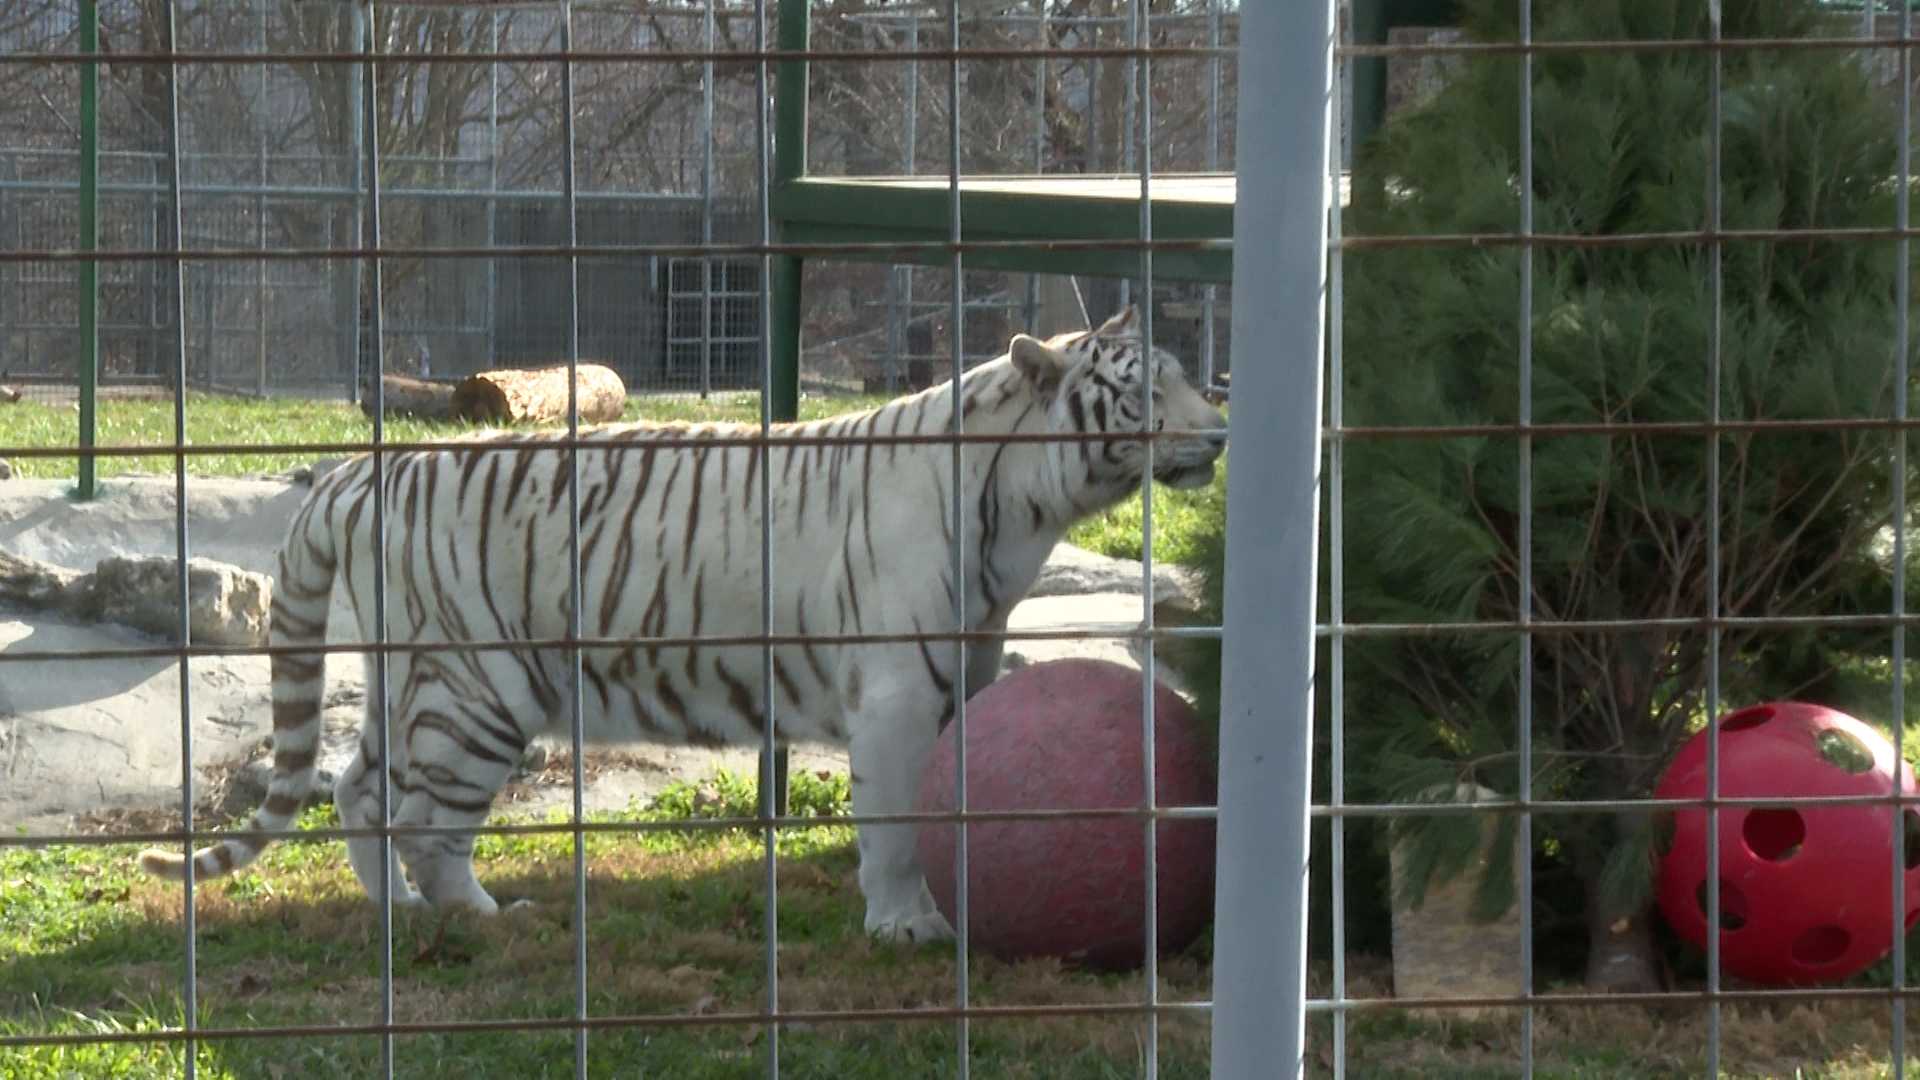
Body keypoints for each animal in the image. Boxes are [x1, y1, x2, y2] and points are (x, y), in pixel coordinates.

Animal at [137, 305, 1228, 944]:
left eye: (1185, 375)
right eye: (1143, 391)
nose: (1218, 431)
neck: (1027, 508)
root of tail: (365, 471)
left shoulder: (967, 664)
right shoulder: (895, 691)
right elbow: (896, 822)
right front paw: (906, 925)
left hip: (411, 680)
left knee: (358, 788)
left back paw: (397, 916)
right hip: (478, 687)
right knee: (417, 816)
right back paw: (485, 919)